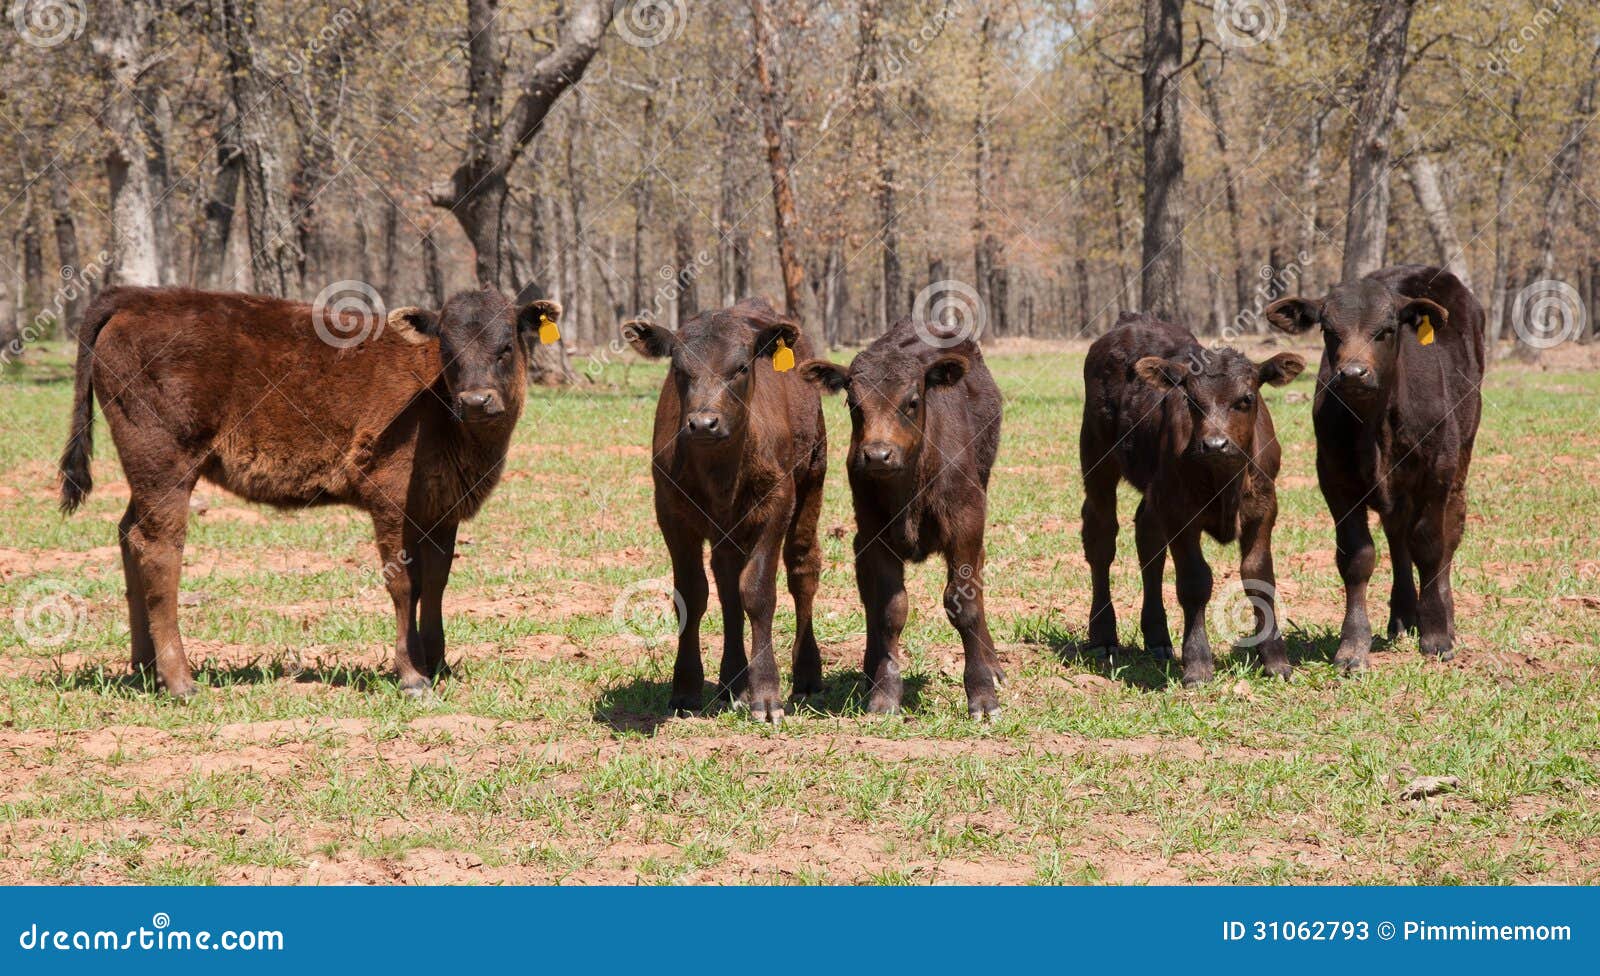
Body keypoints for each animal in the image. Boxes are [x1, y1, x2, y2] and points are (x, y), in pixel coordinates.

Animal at [58, 285, 560, 698]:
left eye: (506, 347)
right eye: (448, 351)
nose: (476, 401)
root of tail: (135, 297)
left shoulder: (441, 508)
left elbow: (435, 581)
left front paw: (438, 664)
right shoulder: (390, 500)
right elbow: (403, 582)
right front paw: (412, 676)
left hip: (149, 478)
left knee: (129, 535)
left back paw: (146, 670)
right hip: (165, 468)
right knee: (160, 552)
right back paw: (181, 682)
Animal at [625, 298, 827, 723]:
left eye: (742, 368)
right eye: (679, 369)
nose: (704, 423)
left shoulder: (775, 506)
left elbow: (759, 592)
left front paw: (766, 694)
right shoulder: (671, 513)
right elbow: (692, 593)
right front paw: (685, 687)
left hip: (813, 476)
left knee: (802, 569)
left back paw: (806, 673)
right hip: (725, 531)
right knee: (726, 582)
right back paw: (732, 681)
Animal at [798, 320, 1005, 718]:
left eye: (912, 402)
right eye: (853, 403)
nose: (877, 455)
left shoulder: (966, 523)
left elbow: (964, 603)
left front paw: (982, 694)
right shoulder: (875, 535)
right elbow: (889, 610)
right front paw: (885, 693)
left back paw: (992, 664)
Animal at [1080, 313, 1305, 686]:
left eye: (1246, 398)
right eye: (1192, 400)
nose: (1214, 444)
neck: (1226, 481)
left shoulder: (1263, 507)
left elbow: (1259, 576)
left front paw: (1275, 659)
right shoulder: (1179, 510)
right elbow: (1195, 582)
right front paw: (1198, 663)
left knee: (1148, 540)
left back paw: (1157, 638)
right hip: (1097, 460)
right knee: (1101, 539)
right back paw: (1103, 636)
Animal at [1264, 265, 1485, 670]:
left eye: (1386, 329)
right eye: (1328, 329)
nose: (1353, 373)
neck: (1376, 427)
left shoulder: (1436, 474)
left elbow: (1430, 545)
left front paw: (1437, 634)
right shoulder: (1335, 480)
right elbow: (1357, 556)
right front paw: (1353, 646)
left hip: (1460, 460)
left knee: (1450, 533)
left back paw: (1443, 614)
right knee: (1397, 537)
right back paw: (1403, 615)